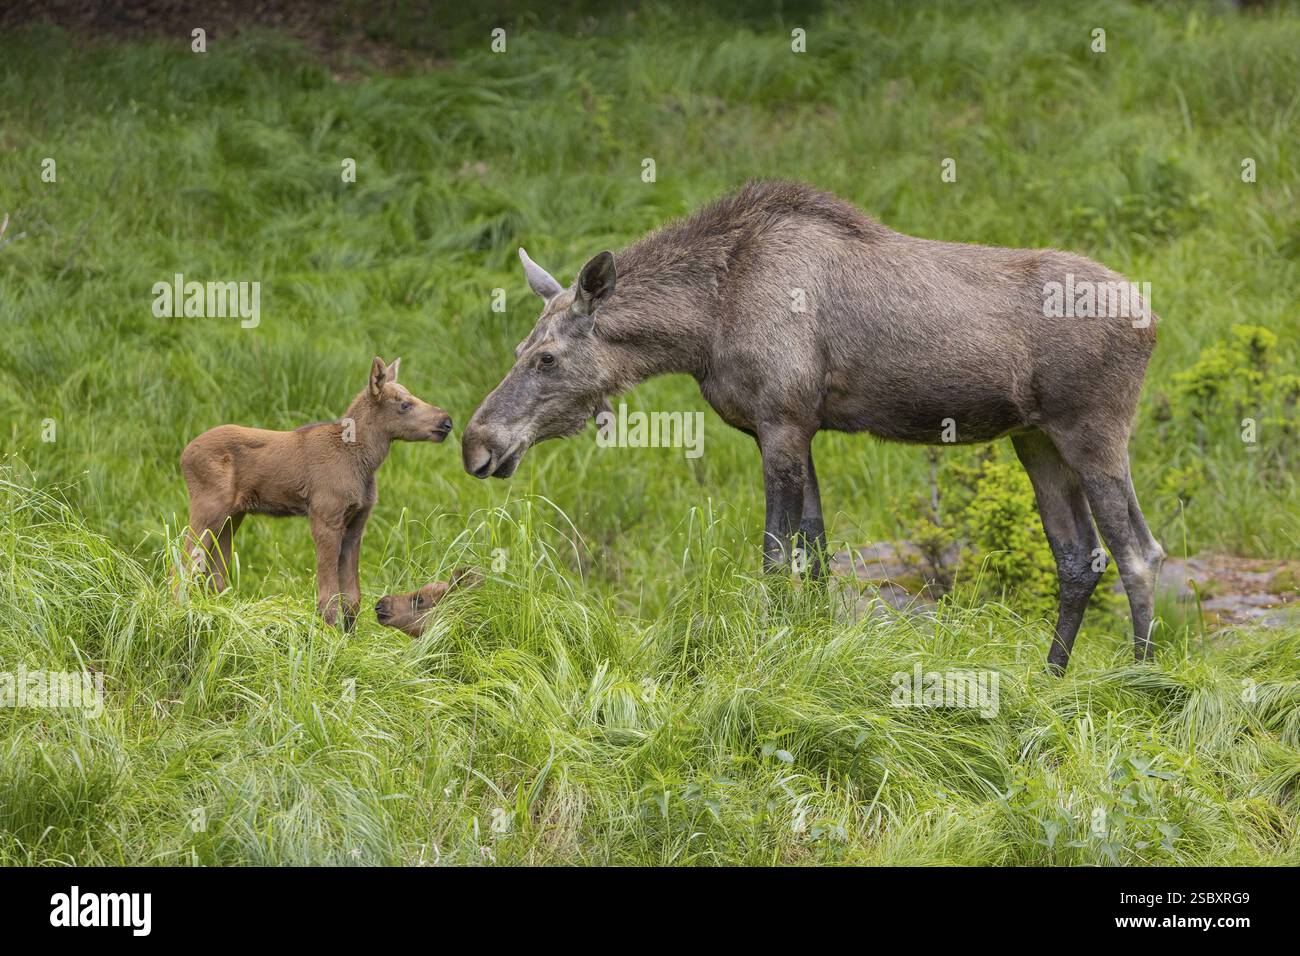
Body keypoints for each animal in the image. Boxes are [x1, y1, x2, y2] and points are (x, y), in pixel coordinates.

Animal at [177, 357, 453, 628]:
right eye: (405, 404)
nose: (447, 421)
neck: (362, 463)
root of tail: (183, 456)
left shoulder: (357, 521)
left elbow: (352, 598)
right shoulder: (325, 516)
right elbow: (328, 599)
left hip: (233, 516)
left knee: (213, 576)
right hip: (208, 507)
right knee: (182, 566)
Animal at [461, 180, 1165, 674]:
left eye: (546, 357)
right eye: (520, 347)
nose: (477, 444)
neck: (701, 329)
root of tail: (1153, 319)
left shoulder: (781, 421)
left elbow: (776, 559)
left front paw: (768, 654)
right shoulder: (800, 428)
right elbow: (819, 554)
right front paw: (817, 648)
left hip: (1095, 430)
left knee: (1138, 552)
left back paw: (1141, 681)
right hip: (1036, 439)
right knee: (1079, 558)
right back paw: (1051, 676)